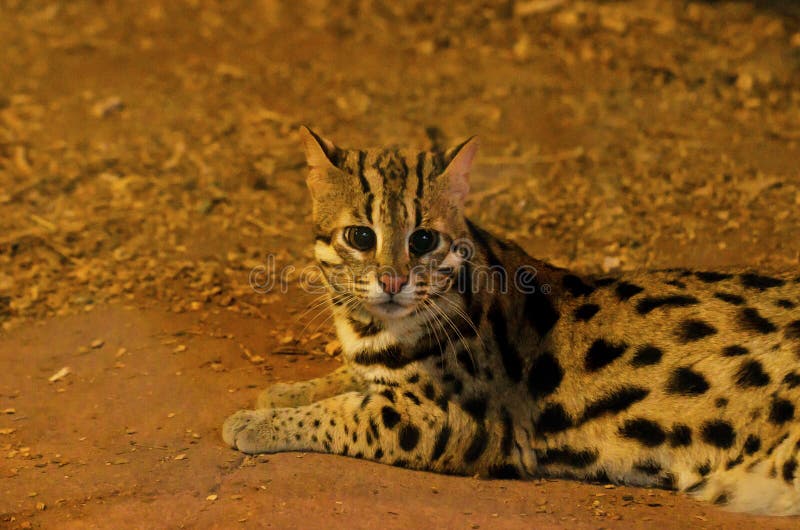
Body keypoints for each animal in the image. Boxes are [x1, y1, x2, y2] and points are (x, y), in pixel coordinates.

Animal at [223, 127, 800, 515]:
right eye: (360, 236)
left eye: (423, 240)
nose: (392, 280)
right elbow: (343, 380)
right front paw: (284, 391)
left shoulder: (462, 424)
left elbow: (346, 413)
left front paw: (258, 422)